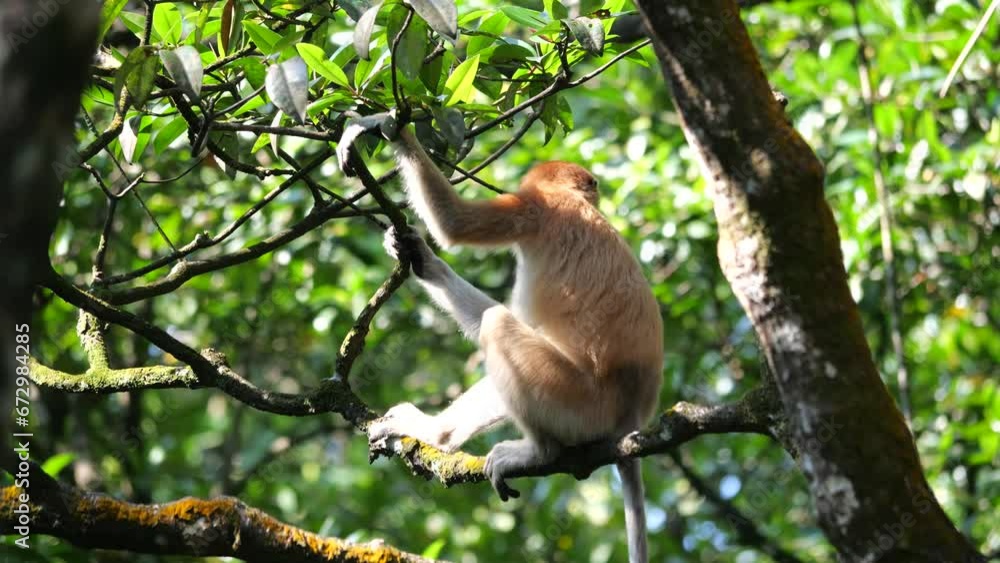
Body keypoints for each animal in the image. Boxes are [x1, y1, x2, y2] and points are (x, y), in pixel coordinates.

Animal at [338, 116, 663, 563]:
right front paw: (420, 257)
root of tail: (629, 416)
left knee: (496, 324)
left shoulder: (533, 208)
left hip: (580, 402)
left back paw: (527, 451)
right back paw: (439, 434)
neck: (567, 198)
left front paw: (384, 127)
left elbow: (455, 224)